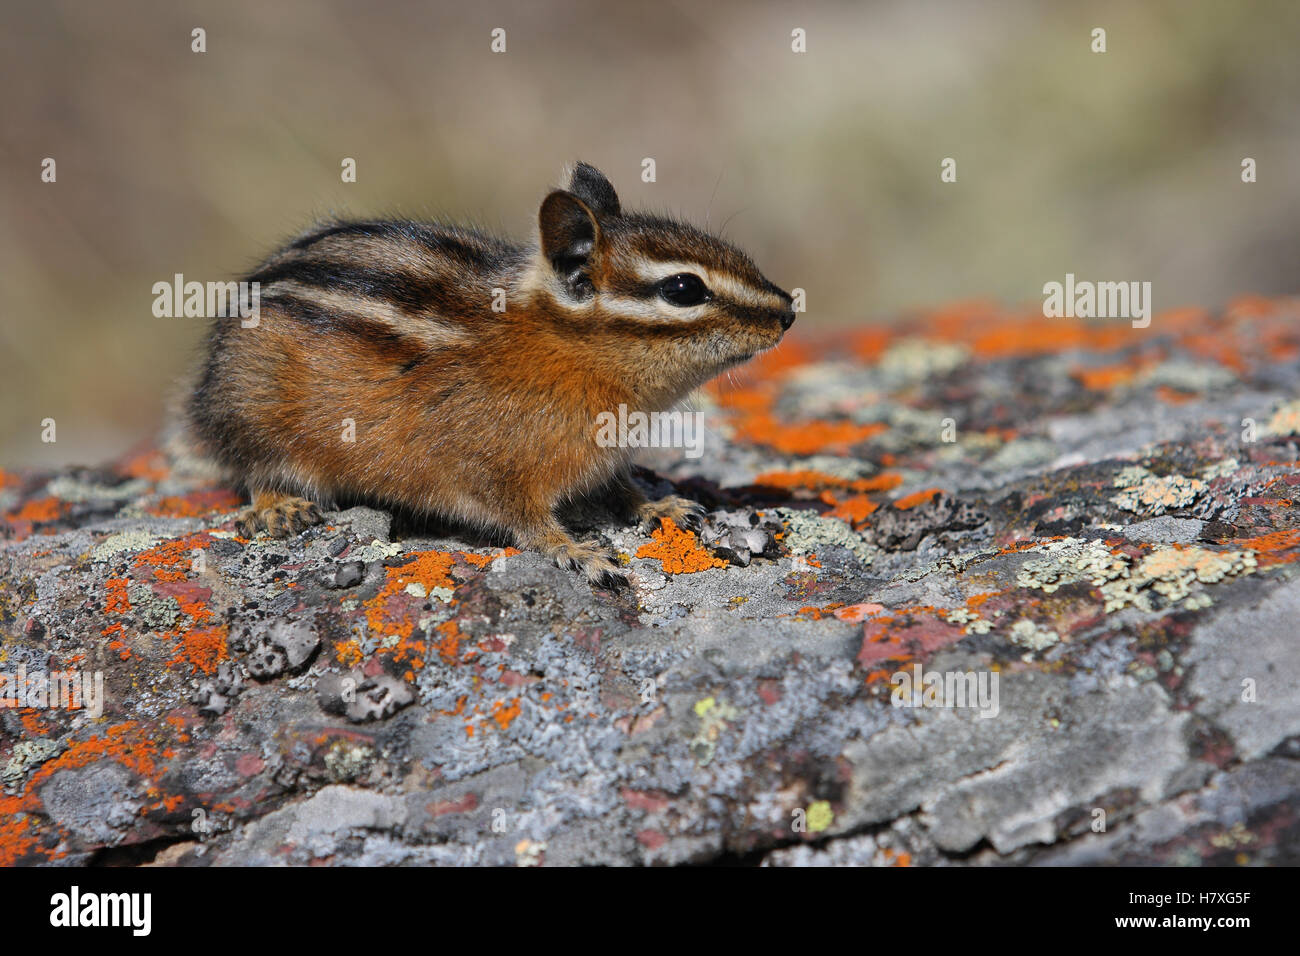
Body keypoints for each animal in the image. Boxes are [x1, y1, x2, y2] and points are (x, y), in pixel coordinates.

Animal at [188, 162, 794, 589]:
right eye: (684, 289)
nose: (789, 311)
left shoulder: (603, 454)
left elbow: (619, 485)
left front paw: (657, 504)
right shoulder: (490, 468)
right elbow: (523, 519)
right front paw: (574, 550)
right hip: (253, 414)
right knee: (253, 468)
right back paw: (278, 506)